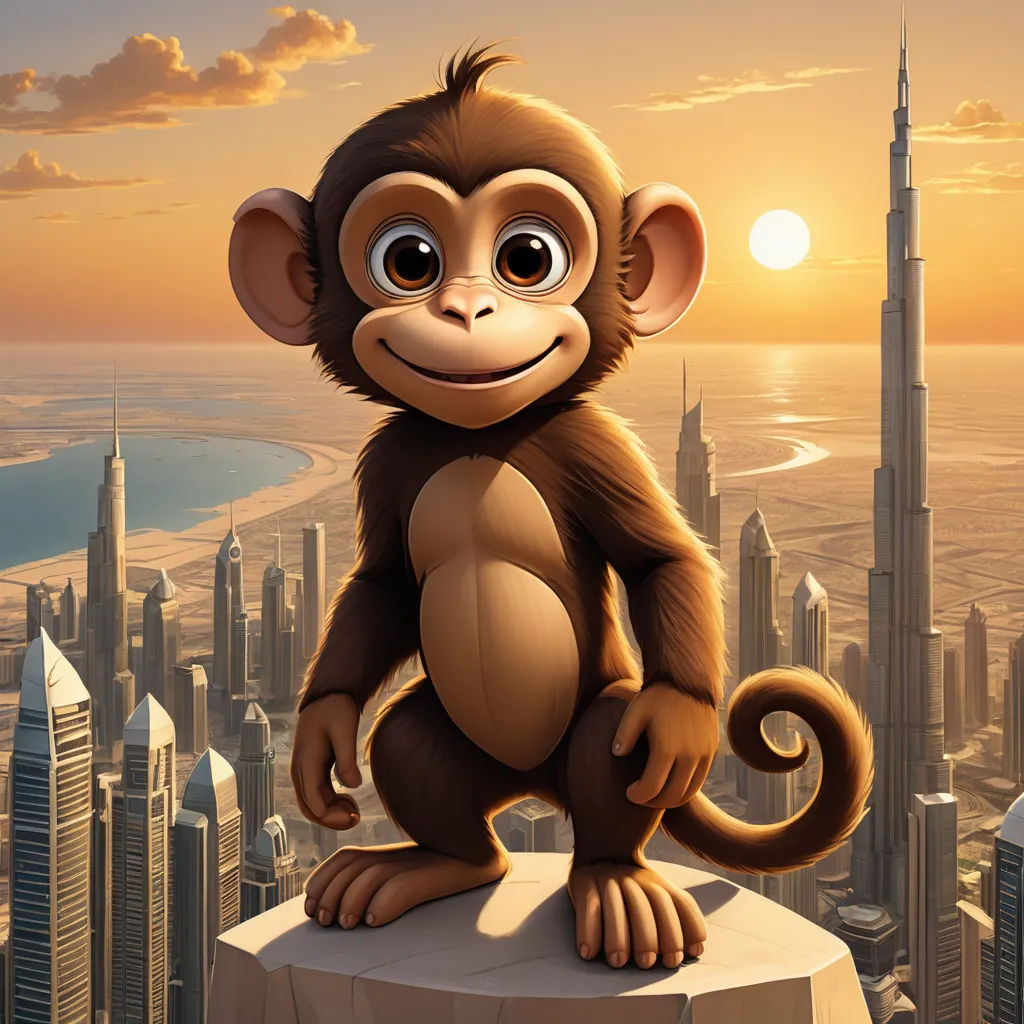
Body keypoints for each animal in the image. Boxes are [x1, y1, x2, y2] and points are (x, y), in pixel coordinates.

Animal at [227, 45, 873, 971]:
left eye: (527, 256)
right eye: (408, 260)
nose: (466, 310)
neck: (479, 436)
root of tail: (532, 794)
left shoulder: (589, 442)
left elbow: (662, 559)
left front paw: (683, 721)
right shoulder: (388, 458)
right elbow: (381, 587)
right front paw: (318, 738)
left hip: (592, 737)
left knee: (612, 745)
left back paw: (618, 887)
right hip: (456, 754)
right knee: (416, 758)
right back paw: (426, 866)